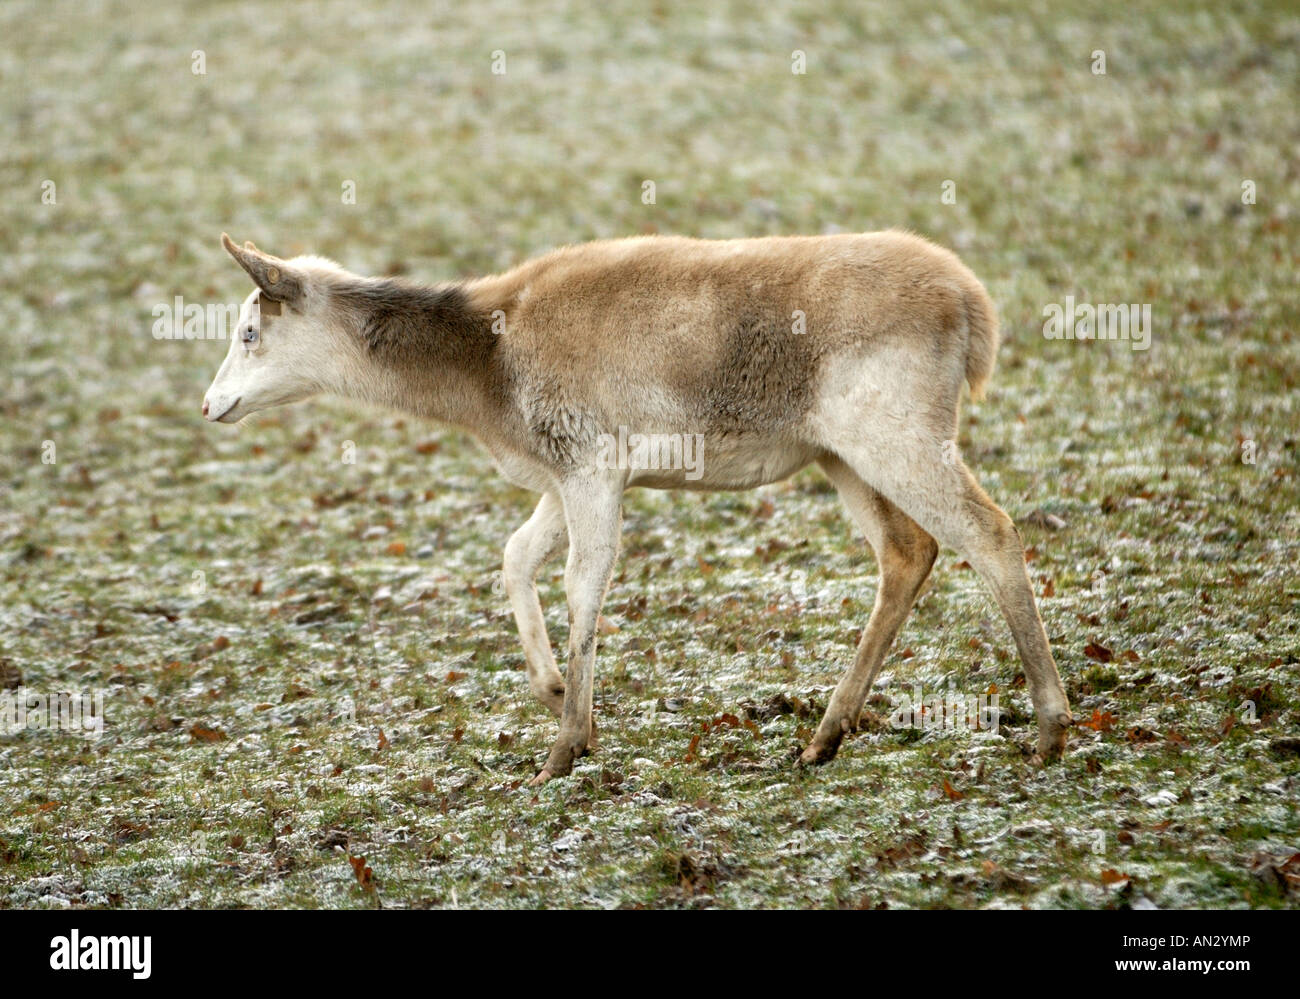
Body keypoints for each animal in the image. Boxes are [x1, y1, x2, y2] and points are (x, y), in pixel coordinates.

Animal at [203, 231, 1073, 784]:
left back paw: (1049, 729)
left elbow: (581, 585)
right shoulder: (571, 473)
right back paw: (822, 737)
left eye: (248, 330)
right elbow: (515, 558)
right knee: (908, 550)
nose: (210, 405)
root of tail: (975, 308)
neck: (487, 377)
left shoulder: (589, 462)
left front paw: (563, 750)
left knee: (991, 530)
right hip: (840, 454)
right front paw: (558, 694)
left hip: (896, 433)